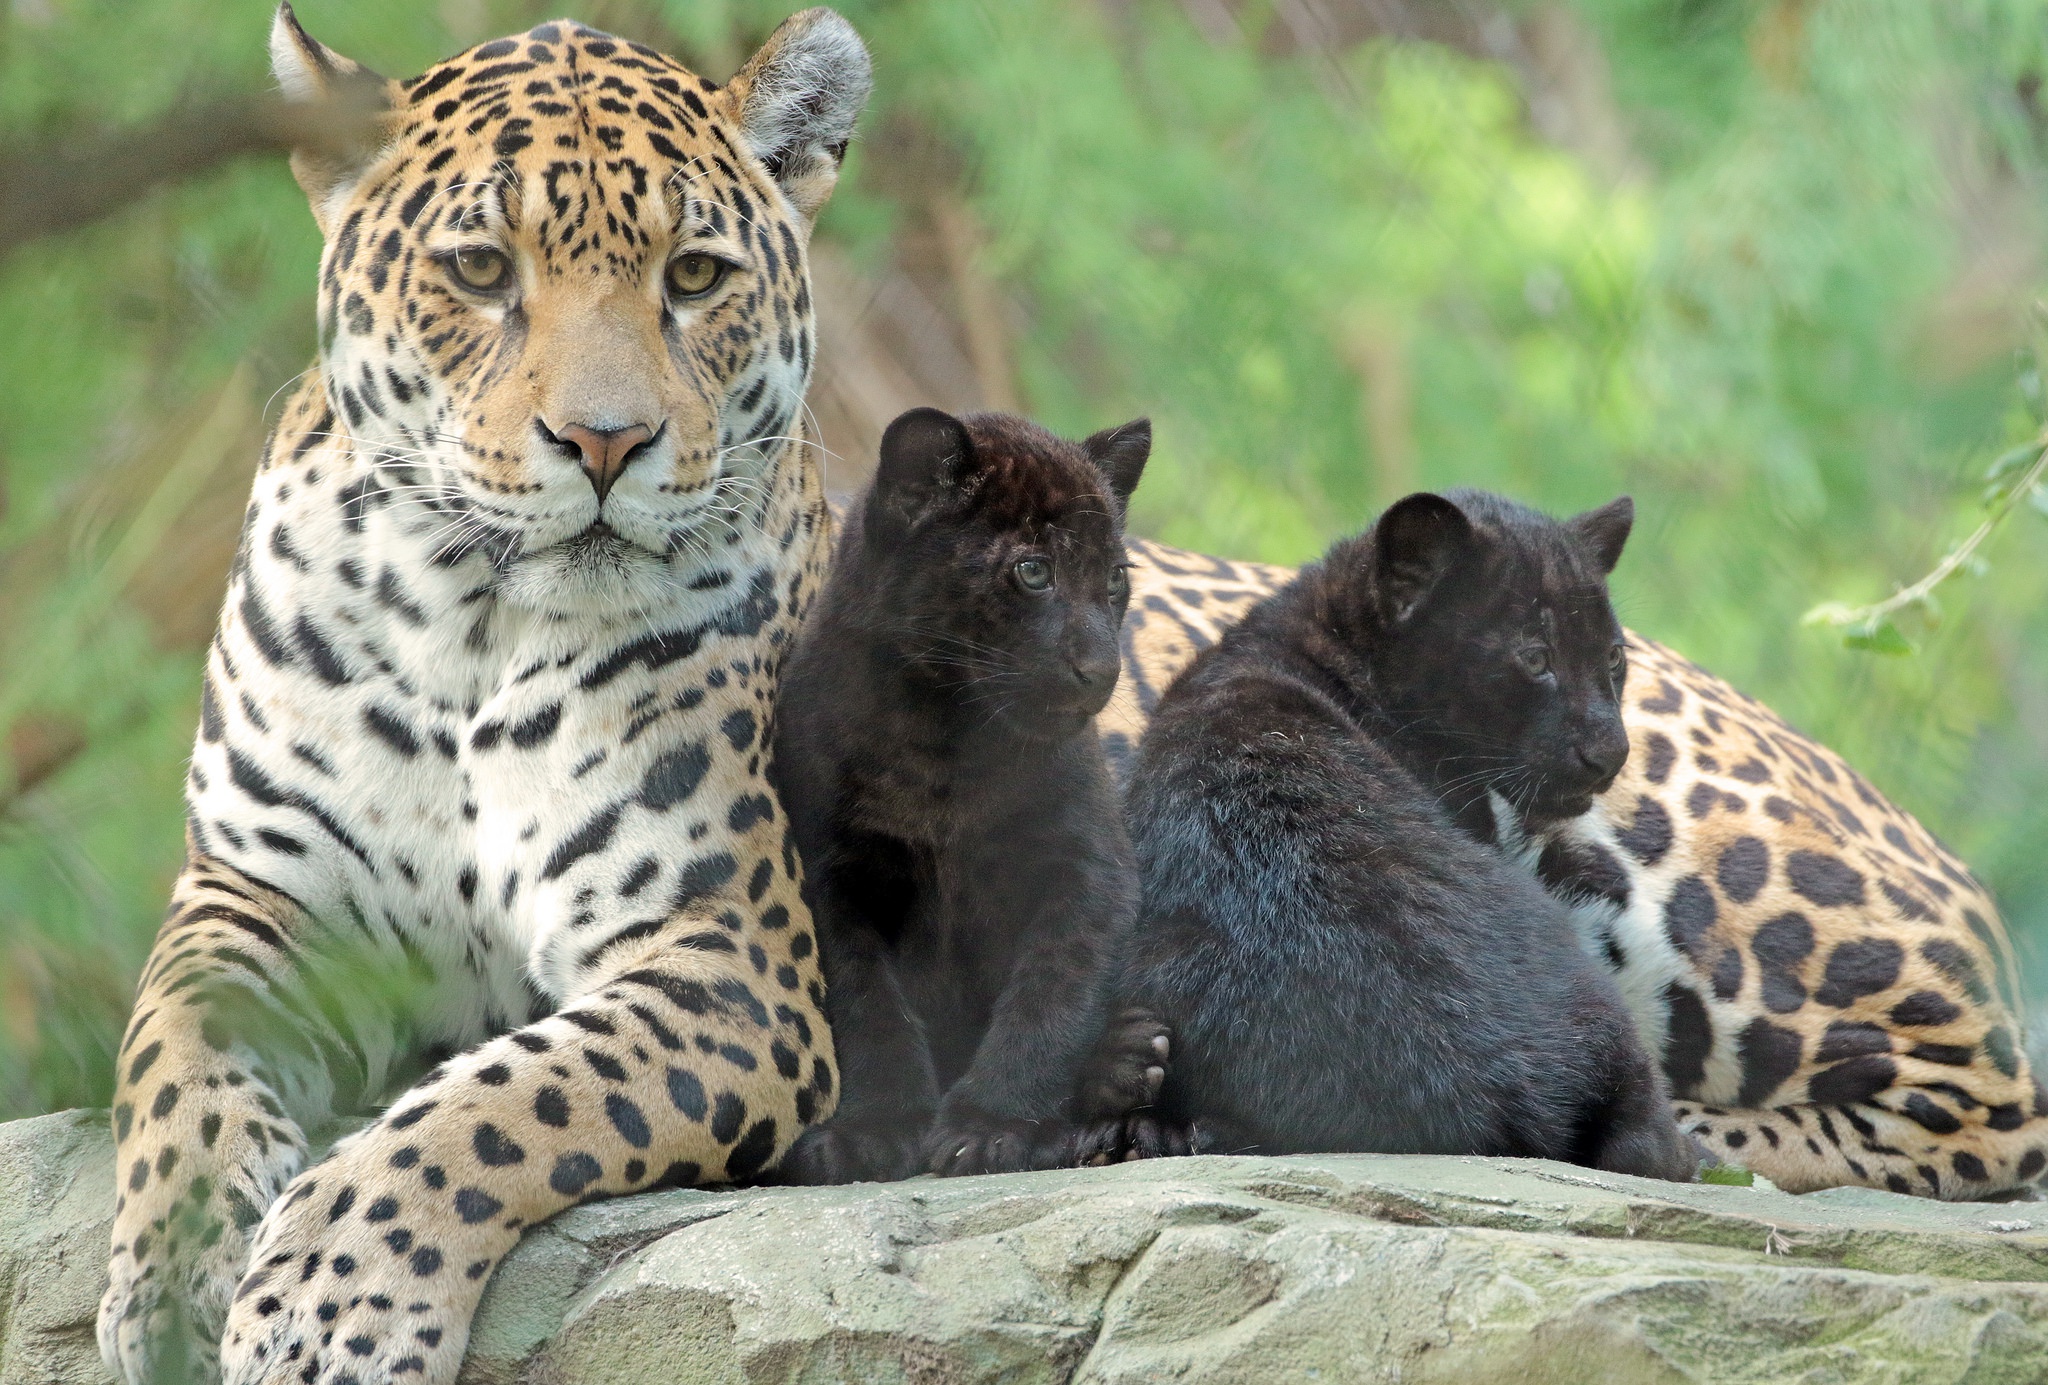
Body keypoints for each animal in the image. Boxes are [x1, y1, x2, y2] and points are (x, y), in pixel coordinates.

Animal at [97, 8, 869, 1384]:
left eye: (693, 277)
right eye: (476, 269)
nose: (606, 440)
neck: (473, 627)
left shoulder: (733, 956)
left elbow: (516, 1095)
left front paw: (323, 1301)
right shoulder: (255, 890)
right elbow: (172, 1042)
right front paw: (178, 1267)